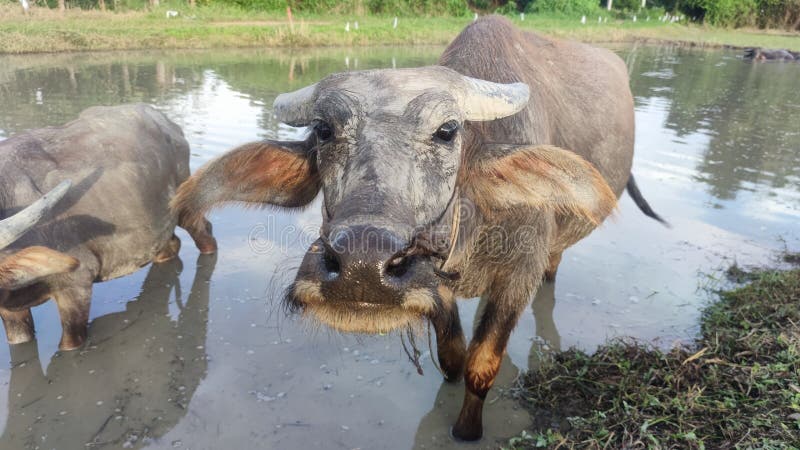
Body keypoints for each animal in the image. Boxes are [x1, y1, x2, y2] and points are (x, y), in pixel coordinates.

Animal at [0, 104, 216, 352]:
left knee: (204, 232)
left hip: (186, 206)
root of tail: (170, 125)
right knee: (171, 245)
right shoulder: (9, 310)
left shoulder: (77, 284)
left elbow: (69, 343)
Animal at [172, 16, 664, 440]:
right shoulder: (435, 285)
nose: (362, 268)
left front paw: (466, 431)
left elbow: (481, 365)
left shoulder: (517, 276)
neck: (471, 236)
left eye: (447, 131)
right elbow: (452, 357)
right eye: (324, 129)